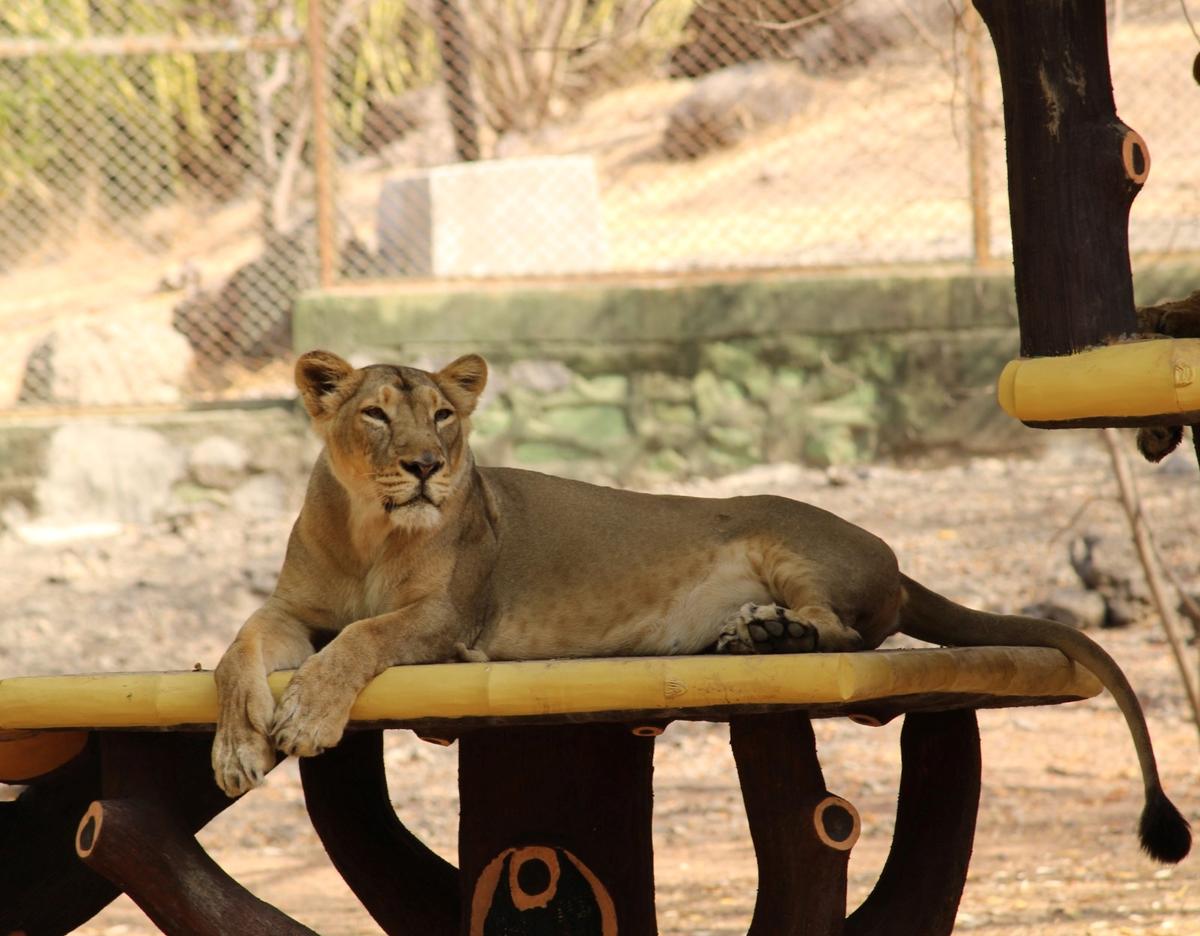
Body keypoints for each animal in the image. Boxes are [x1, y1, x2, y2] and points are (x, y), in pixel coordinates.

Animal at [212, 350, 1191, 863]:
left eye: (444, 417)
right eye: (377, 415)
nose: (425, 466)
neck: (371, 531)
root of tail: (896, 559)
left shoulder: (451, 622)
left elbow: (362, 637)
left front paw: (303, 716)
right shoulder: (292, 607)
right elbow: (238, 647)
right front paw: (236, 744)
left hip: (781, 536)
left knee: (844, 633)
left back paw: (768, 630)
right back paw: (751, 633)